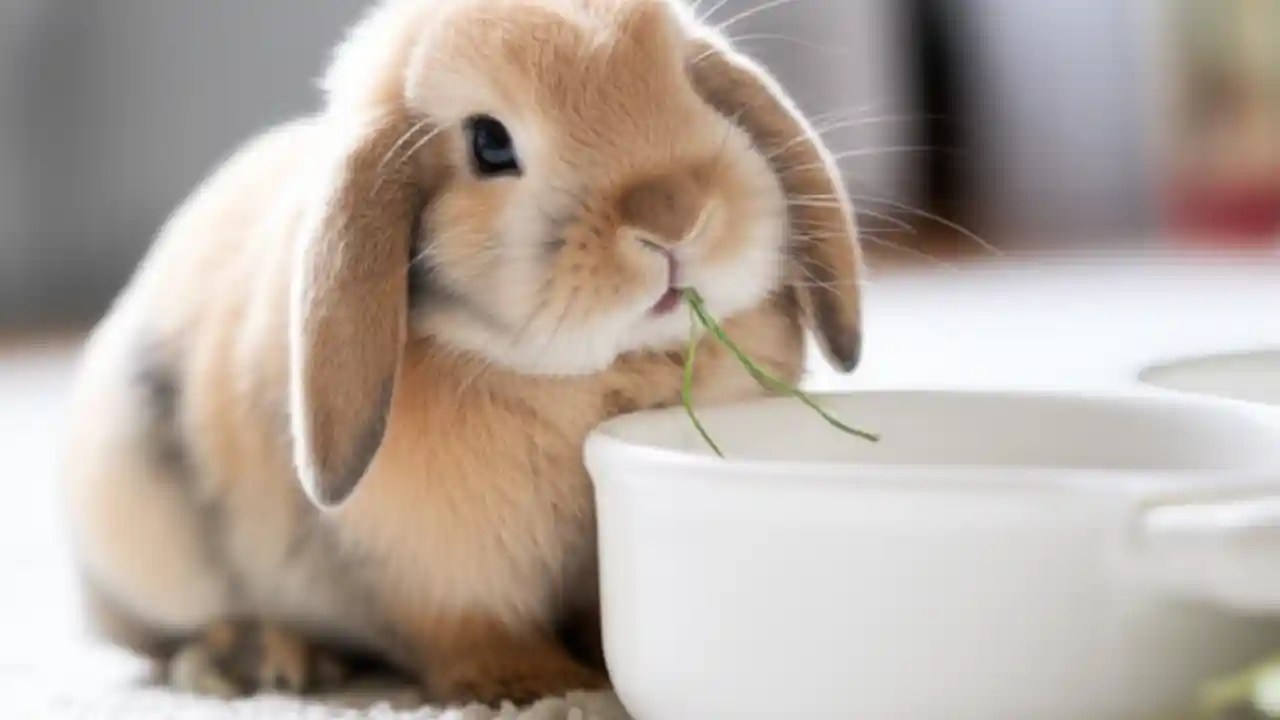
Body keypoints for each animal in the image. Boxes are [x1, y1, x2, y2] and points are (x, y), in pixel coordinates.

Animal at [61, 0, 863, 706]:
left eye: (689, 87)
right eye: (490, 144)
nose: (673, 215)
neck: (596, 374)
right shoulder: (445, 576)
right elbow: (476, 632)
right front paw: (539, 685)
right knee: (158, 638)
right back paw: (257, 661)